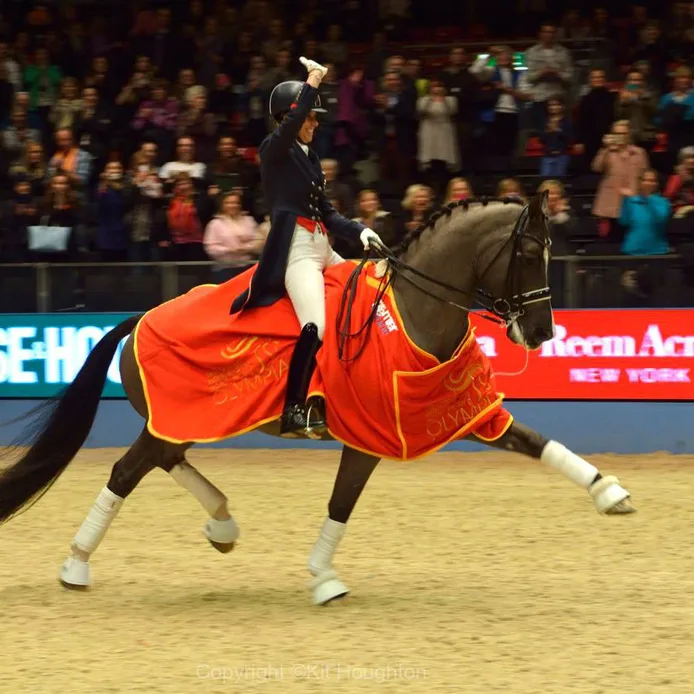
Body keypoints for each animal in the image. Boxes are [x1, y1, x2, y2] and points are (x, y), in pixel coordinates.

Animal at [0, 194, 635, 606]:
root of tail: (139, 320)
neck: (414, 311)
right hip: (174, 419)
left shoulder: (459, 410)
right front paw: (324, 578)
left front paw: (611, 494)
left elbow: (536, 441)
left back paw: (222, 524)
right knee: (125, 472)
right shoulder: (370, 433)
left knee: (164, 461)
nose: (543, 332)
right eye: (528, 253)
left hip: (183, 422)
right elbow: (341, 504)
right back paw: (76, 565)